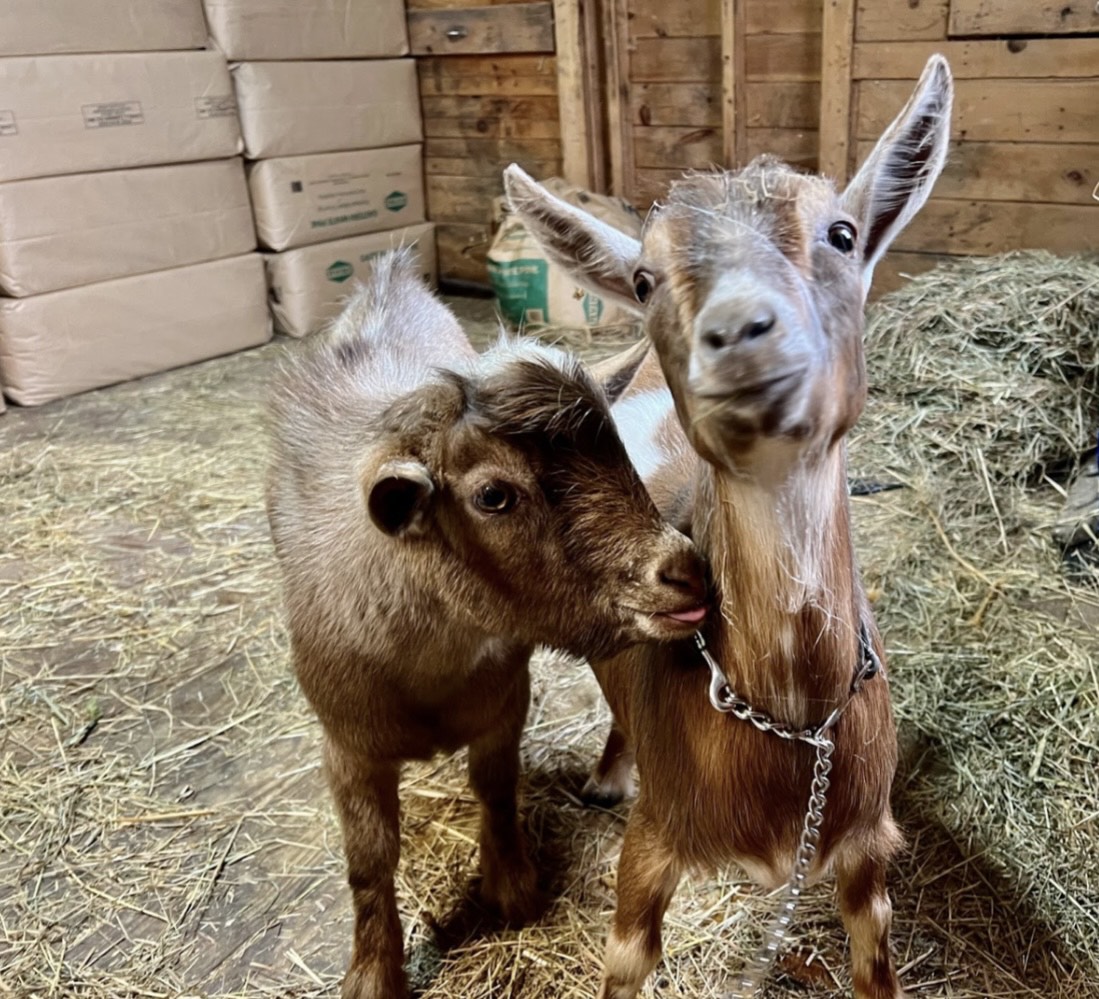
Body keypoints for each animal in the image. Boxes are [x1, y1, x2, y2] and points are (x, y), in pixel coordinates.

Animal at [264, 250, 709, 999]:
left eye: (618, 450)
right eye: (493, 495)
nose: (685, 570)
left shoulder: (504, 702)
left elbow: (496, 789)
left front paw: (513, 888)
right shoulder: (347, 744)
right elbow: (368, 858)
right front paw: (373, 971)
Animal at [504, 55, 953, 999]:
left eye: (842, 234)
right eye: (643, 279)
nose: (739, 334)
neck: (793, 717)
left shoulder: (866, 849)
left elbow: (876, 963)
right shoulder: (650, 852)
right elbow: (626, 961)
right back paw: (607, 775)